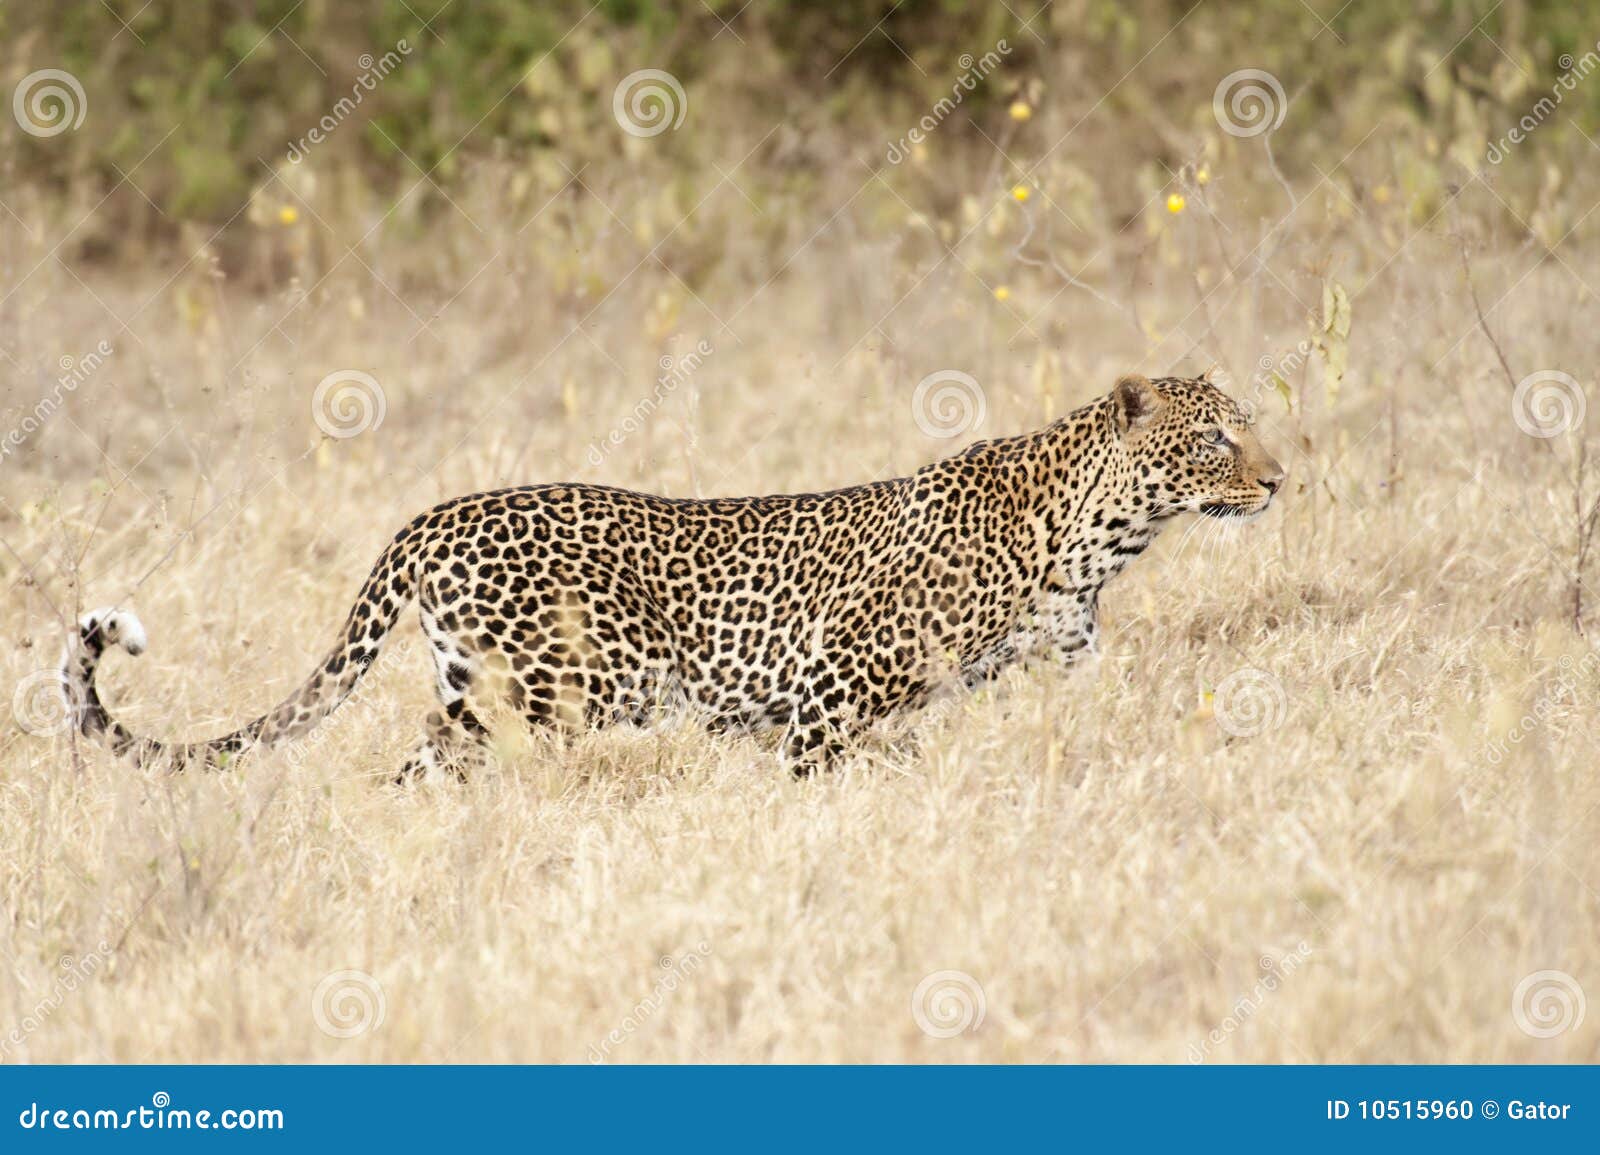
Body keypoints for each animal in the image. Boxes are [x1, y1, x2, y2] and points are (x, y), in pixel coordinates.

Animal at [60, 372, 1284, 779]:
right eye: (1216, 438)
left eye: (1247, 431)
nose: (1279, 479)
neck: (1101, 533)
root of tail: (430, 514)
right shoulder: (834, 685)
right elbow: (812, 770)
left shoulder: (1058, 665)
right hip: (576, 682)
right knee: (460, 748)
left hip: (490, 682)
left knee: (427, 752)